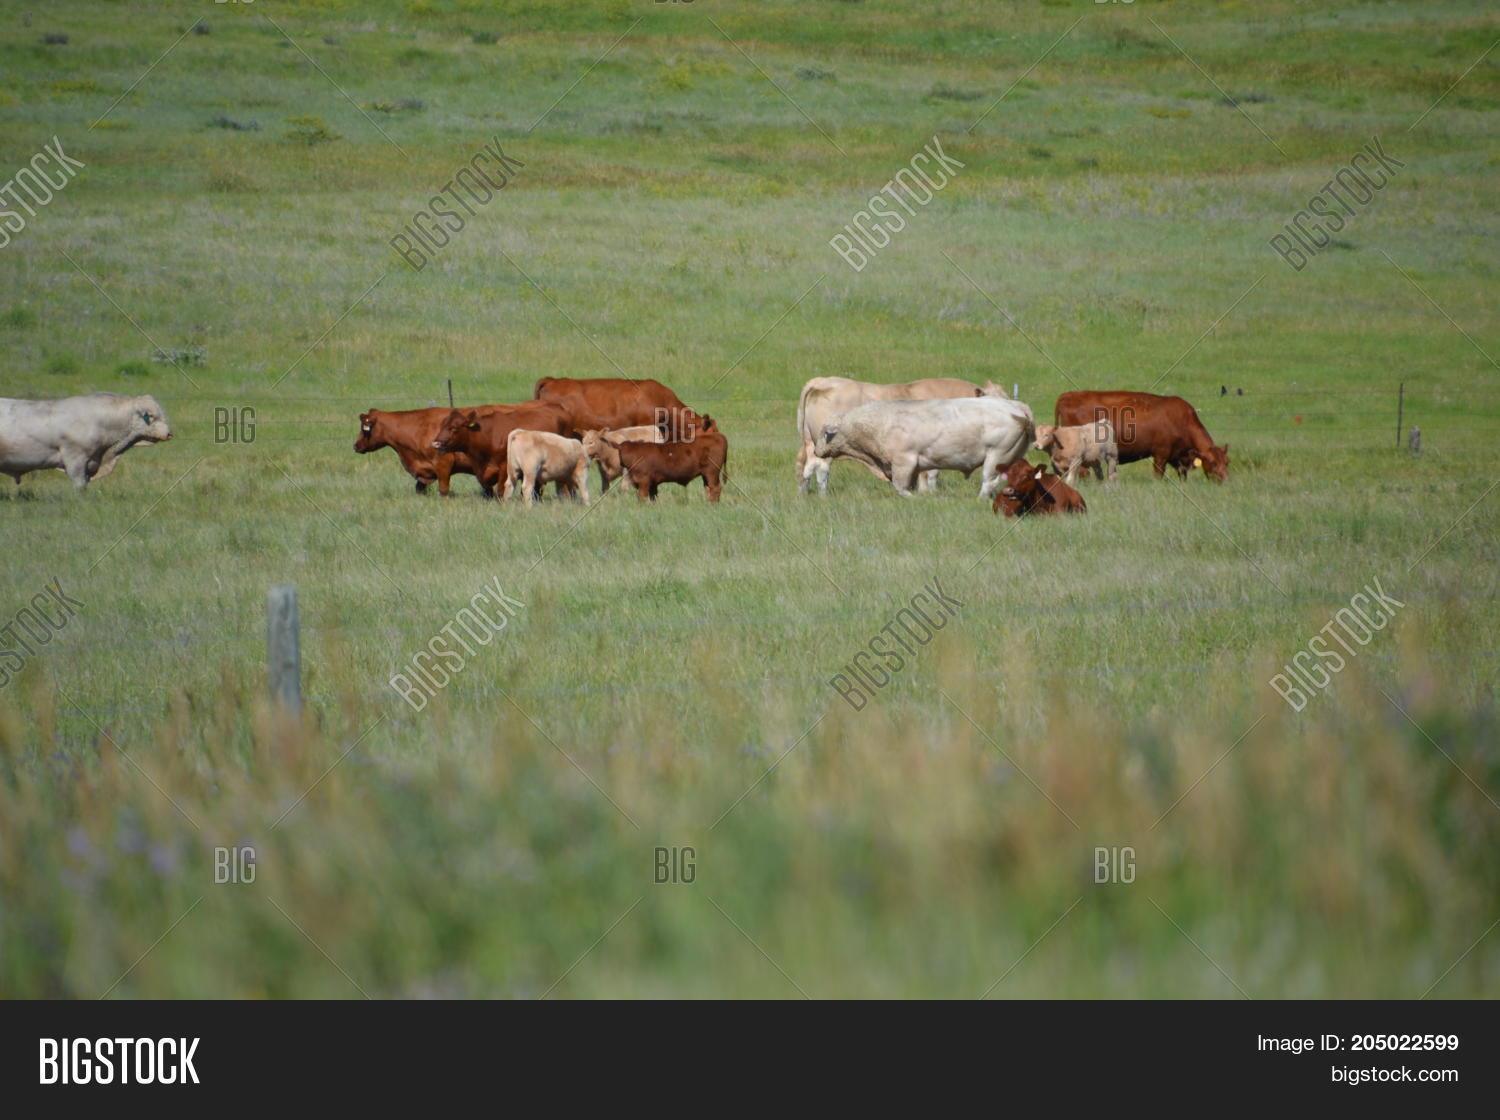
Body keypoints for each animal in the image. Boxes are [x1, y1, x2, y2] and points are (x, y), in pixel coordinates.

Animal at [796, 376, 1010, 495]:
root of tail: (823, 380)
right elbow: (930, 472)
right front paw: (927, 492)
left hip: (811, 443)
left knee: (807, 468)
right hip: (827, 446)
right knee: (821, 469)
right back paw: (824, 496)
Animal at [811, 397, 1033, 499]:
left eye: (825, 434)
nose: (816, 451)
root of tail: (1014, 407)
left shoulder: (904, 462)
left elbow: (900, 487)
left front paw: (915, 498)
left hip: (997, 456)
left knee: (989, 481)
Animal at [1054, 391, 1228, 482]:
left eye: (1227, 462)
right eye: (1212, 463)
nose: (1225, 480)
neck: (1182, 419)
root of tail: (1068, 395)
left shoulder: (1178, 458)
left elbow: (1182, 475)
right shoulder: (1161, 454)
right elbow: (1158, 475)